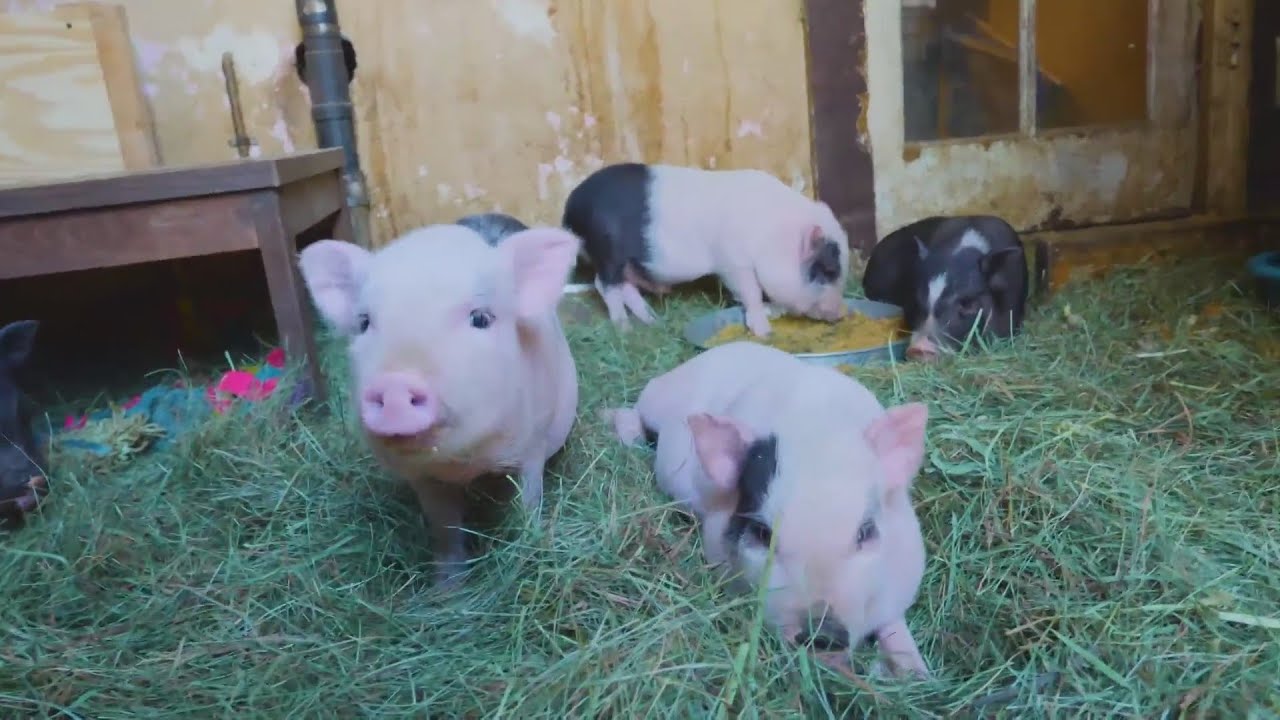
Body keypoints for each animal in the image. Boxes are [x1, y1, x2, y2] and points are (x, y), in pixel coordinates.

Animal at [296, 223, 580, 586]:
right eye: (363, 323)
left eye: (481, 318)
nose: (395, 383)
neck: (463, 466)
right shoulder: (424, 478)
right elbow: (444, 528)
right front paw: (446, 588)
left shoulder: (532, 445)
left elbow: (527, 504)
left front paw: (527, 551)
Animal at [561, 163, 852, 336]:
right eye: (828, 270)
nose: (841, 314)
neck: (774, 238)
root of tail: (572, 205)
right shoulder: (733, 263)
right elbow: (751, 293)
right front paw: (765, 332)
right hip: (608, 250)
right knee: (604, 285)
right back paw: (624, 329)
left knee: (626, 287)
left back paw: (652, 321)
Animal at [608, 341, 931, 678]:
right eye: (763, 534)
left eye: (866, 531)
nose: (823, 635)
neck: (816, 427)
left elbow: (893, 623)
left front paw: (919, 674)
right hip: (658, 399)